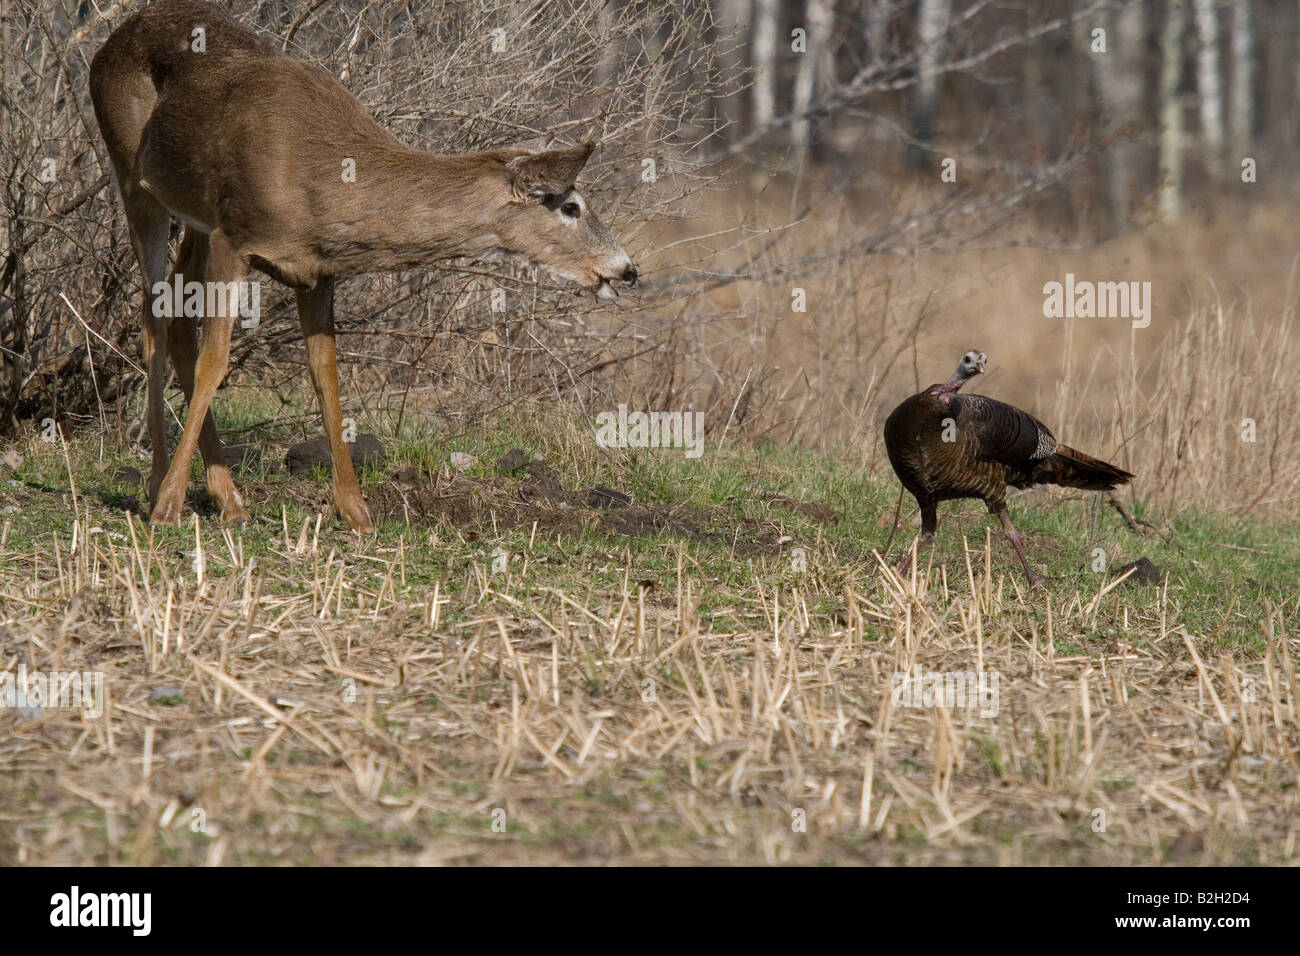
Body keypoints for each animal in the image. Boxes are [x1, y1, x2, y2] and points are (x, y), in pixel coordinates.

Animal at [89, 0, 637, 533]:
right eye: (570, 206)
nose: (627, 269)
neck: (325, 180)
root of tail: (109, 41)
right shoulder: (234, 237)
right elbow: (216, 362)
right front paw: (168, 506)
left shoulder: (316, 270)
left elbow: (325, 373)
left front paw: (356, 511)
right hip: (133, 174)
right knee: (153, 317)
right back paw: (160, 486)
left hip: (194, 215)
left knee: (175, 315)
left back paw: (228, 498)